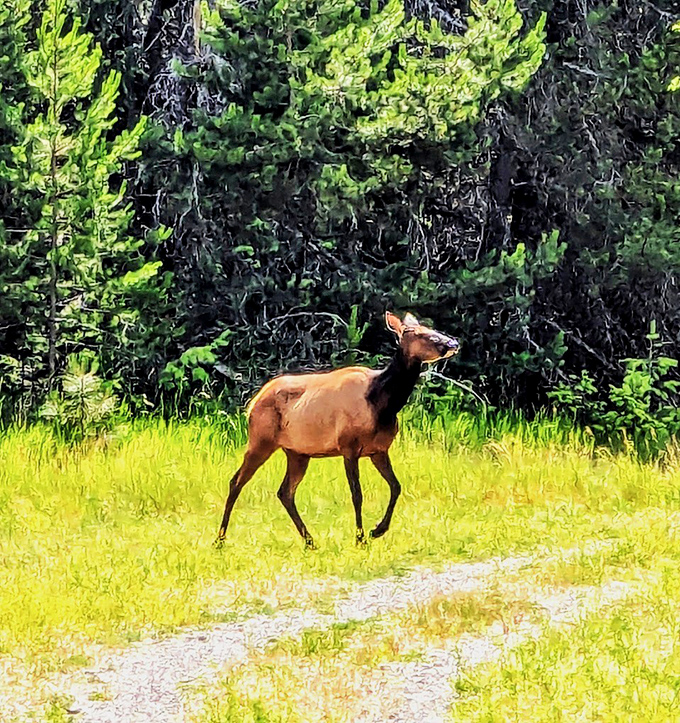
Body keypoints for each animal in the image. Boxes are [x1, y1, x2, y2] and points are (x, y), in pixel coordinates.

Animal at [215, 311, 460, 549]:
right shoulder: (348, 446)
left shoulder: (379, 450)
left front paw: (377, 530)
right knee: (236, 481)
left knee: (285, 491)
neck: (383, 404)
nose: (453, 342)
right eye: (420, 334)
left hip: (297, 452)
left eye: (430, 328)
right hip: (261, 440)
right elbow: (357, 494)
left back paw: (310, 541)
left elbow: (396, 487)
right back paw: (220, 539)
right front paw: (360, 538)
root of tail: (252, 404)